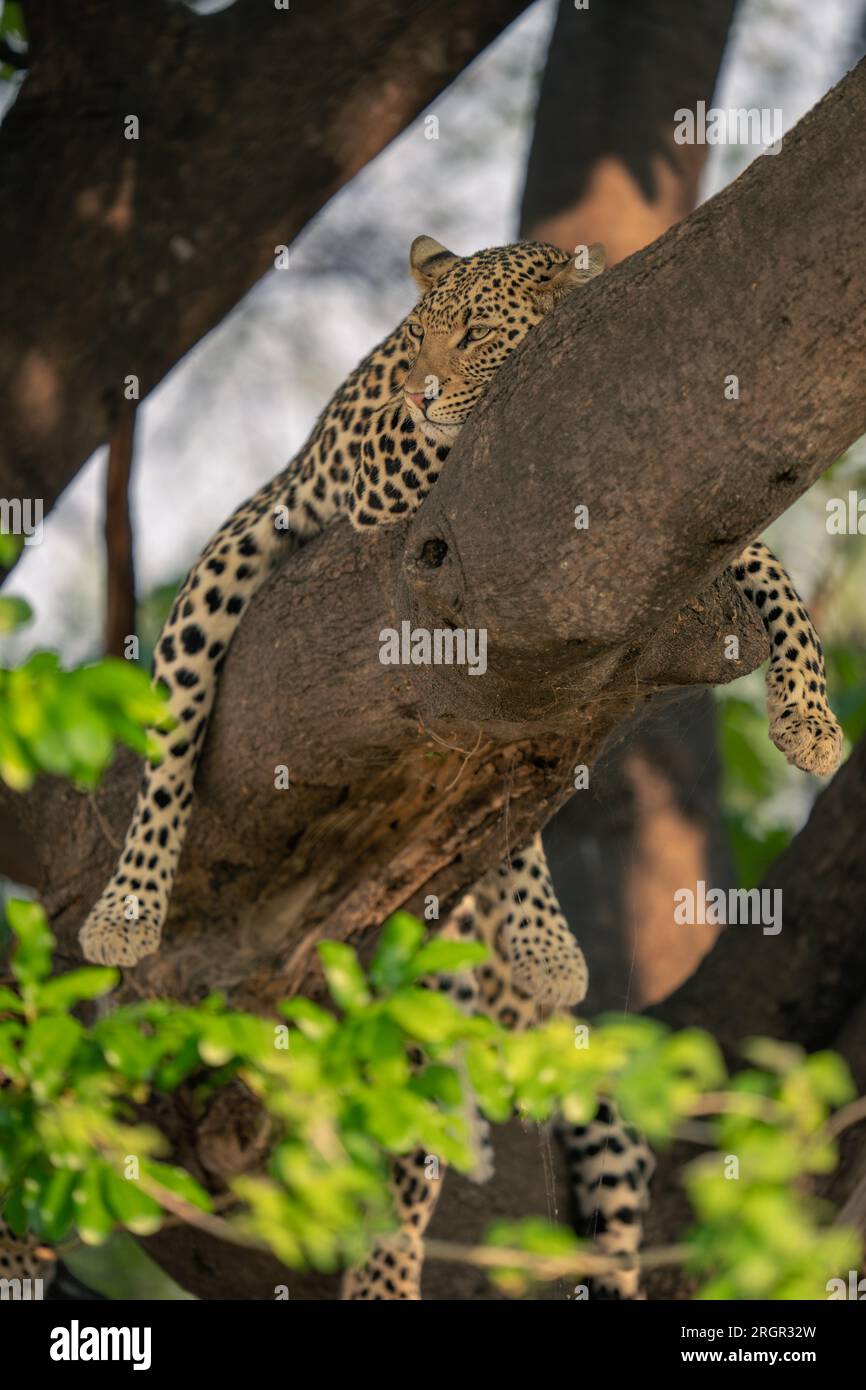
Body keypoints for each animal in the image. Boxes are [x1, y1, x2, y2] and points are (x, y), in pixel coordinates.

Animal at [69, 233, 842, 1300]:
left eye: (472, 335)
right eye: (417, 338)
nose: (418, 390)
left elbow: (773, 574)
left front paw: (810, 719)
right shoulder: (389, 476)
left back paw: (539, 951)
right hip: (232, 575)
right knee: (178, 738)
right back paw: (128, 912)